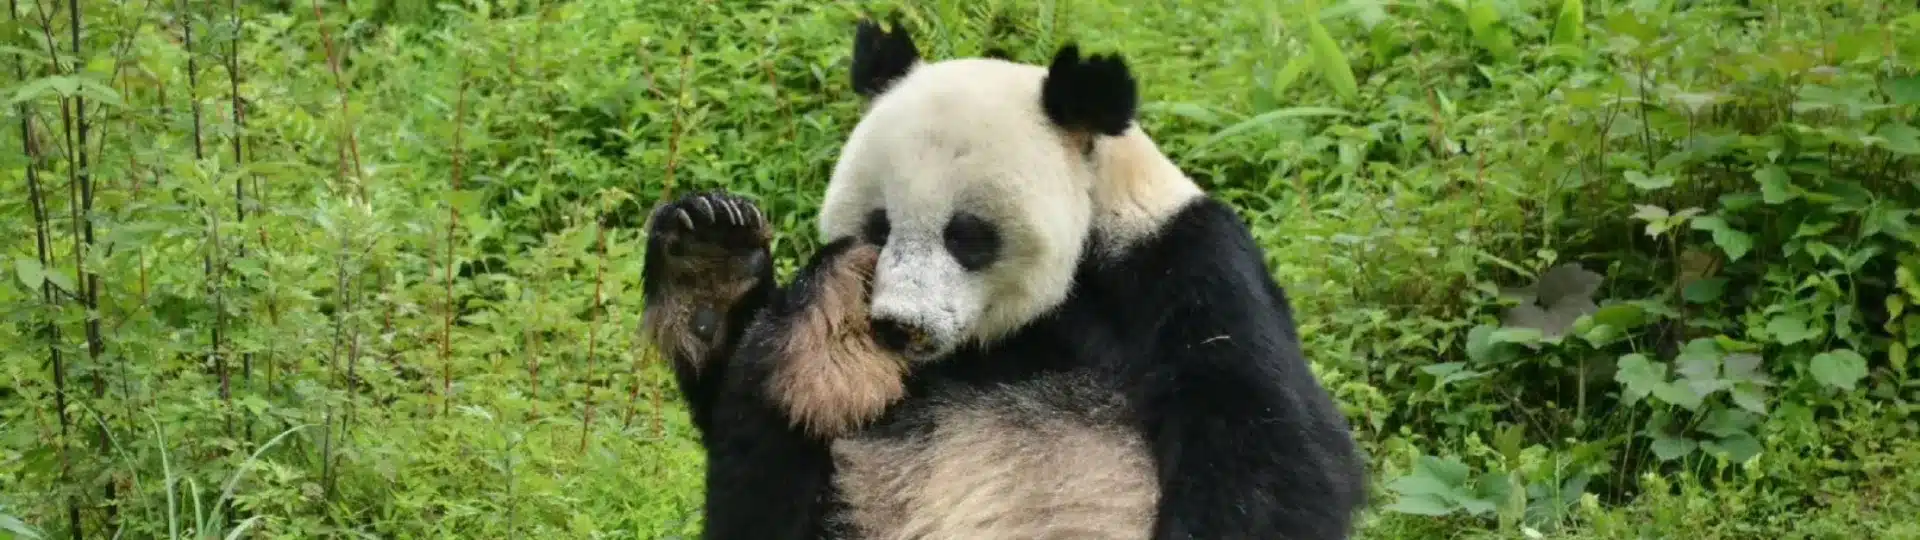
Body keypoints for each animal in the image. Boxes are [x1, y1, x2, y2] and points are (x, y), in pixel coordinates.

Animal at [640, 16, 1367, 540]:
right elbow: (760, 417)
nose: (899, 326)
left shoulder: (1182, 263)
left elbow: (1275, 453)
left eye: (966, 235)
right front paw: (723, 271)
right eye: (878, 225)